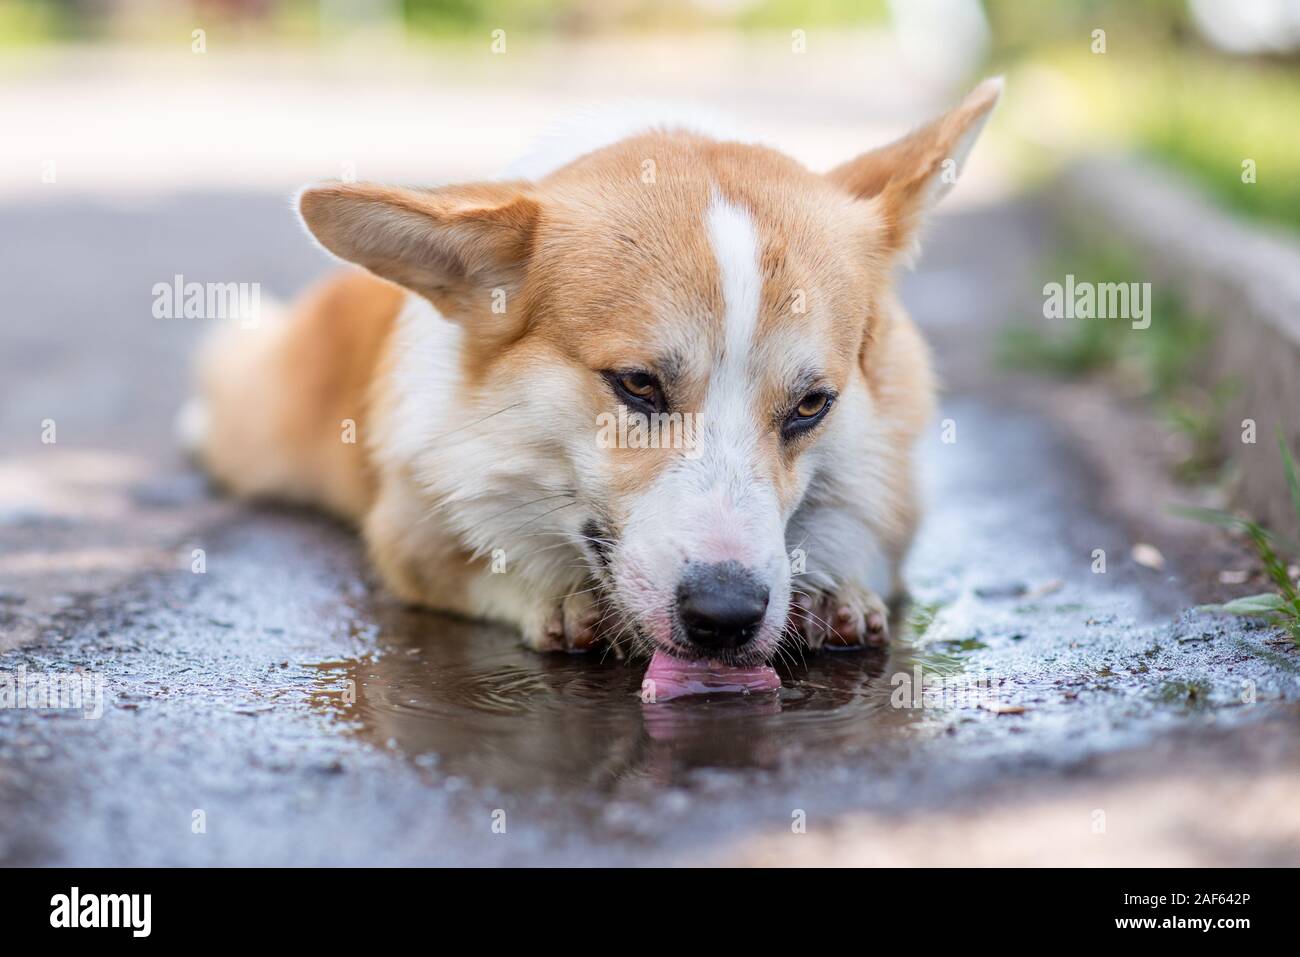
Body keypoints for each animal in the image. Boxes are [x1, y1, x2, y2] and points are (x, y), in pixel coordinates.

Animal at [188, 80, 1003, 670]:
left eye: (811, 404)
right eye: (637, 384)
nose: (727, 618)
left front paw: (836, 594)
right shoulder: (411, 531)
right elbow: (474, 564)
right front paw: (555, 598)